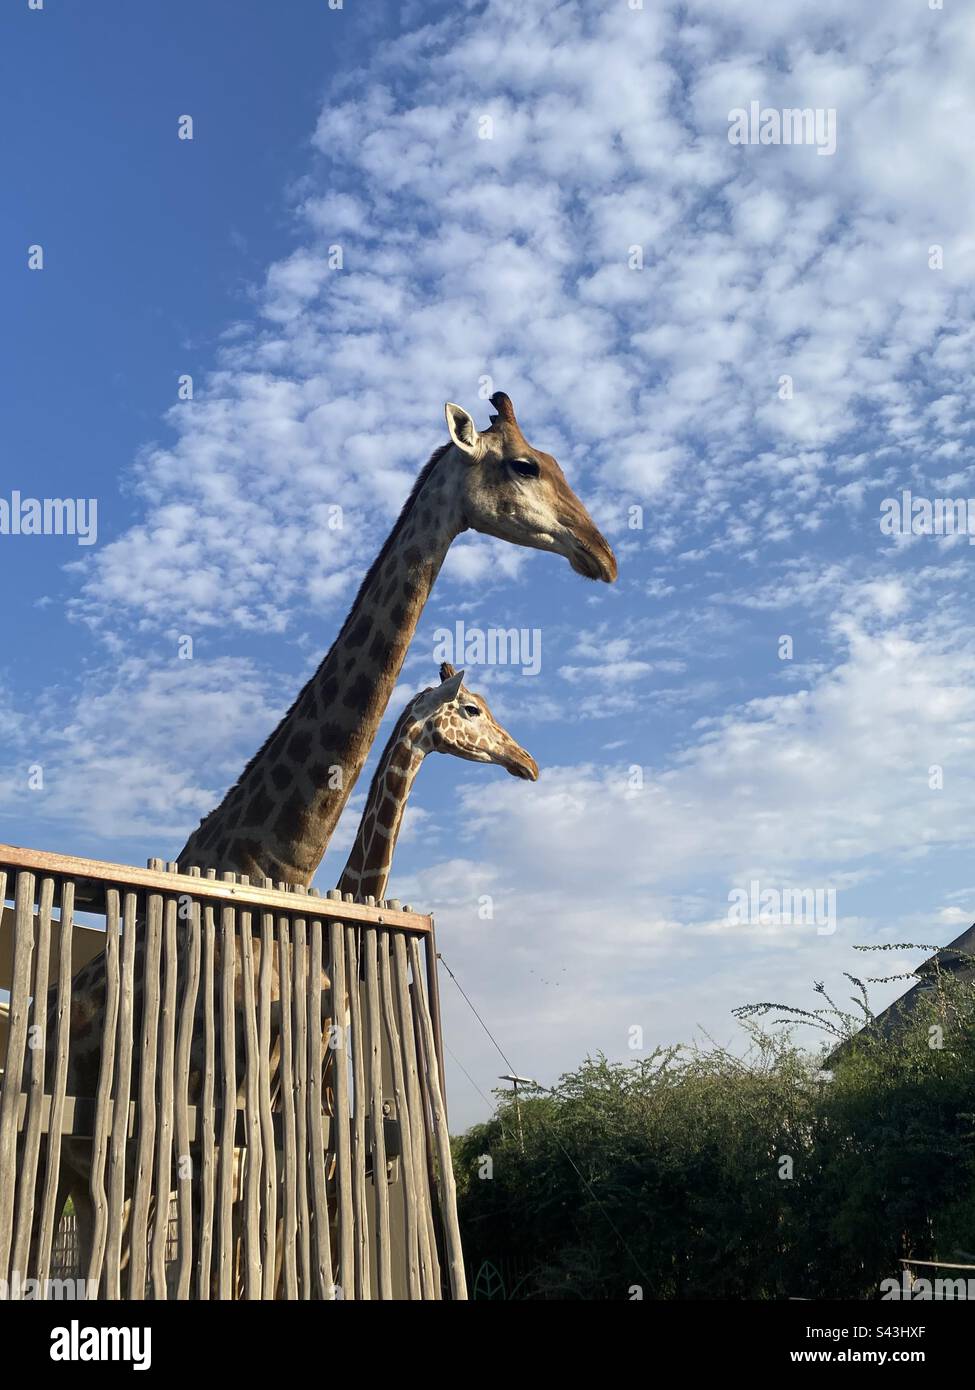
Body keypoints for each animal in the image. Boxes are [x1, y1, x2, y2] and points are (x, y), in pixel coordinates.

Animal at [30, 391, 614, 1292]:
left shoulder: (274, 1101)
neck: (273, 859)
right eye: (524, 465)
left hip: (105, 1151)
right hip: (85, 1138)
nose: (604, 554)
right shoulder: (224, 1099)